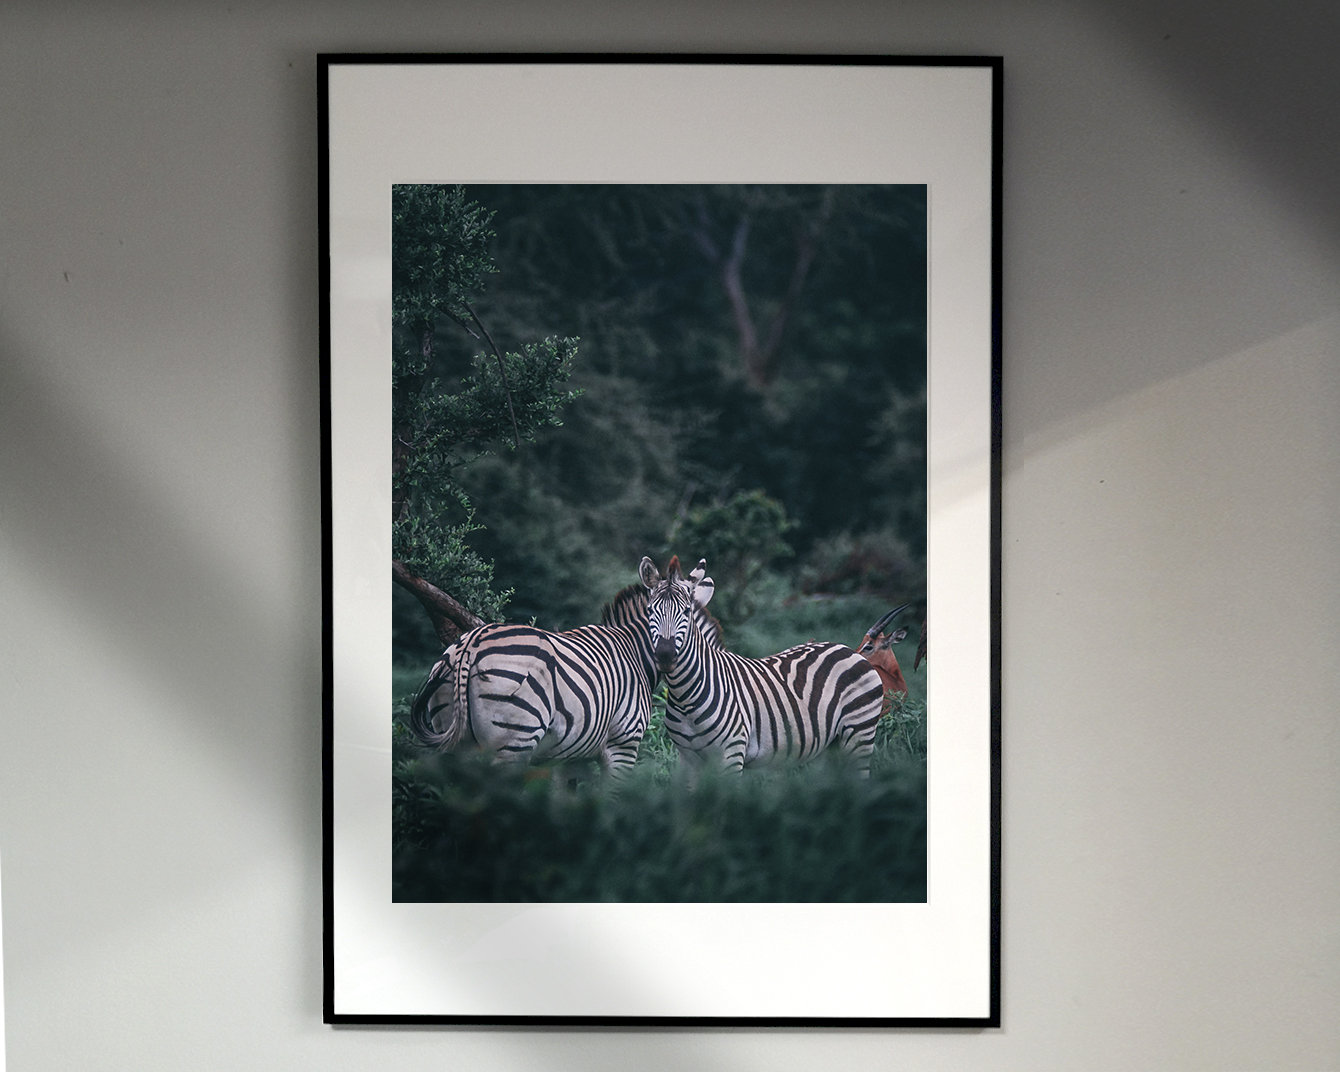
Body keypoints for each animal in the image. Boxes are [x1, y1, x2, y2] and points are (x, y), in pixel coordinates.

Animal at [640, 555, 887, 777]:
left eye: (687, 611)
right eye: (650, 610)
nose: (665, 655)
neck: (686, 696)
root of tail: (847, 649)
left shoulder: (731, 754)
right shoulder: (688, 758)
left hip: (859, 733)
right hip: (829, 746)